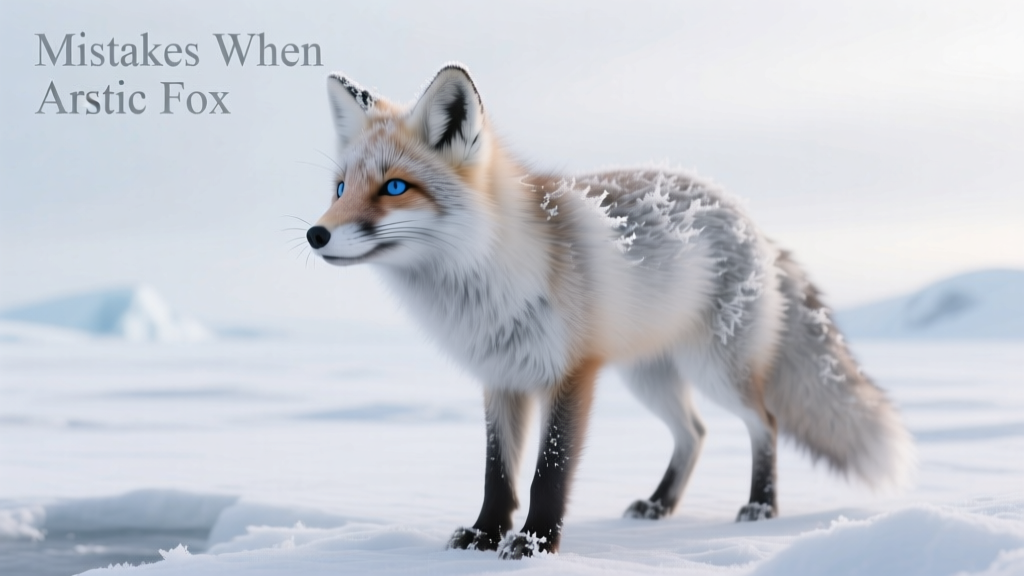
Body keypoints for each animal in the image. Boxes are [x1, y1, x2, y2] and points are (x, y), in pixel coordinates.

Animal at [305, 63, 914, 560]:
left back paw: (761, 506)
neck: (489, 280)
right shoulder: (501, 378)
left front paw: (535, 543)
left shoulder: (573, 373)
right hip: (649, 377)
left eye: (394, 188)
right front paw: (483, 535)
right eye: (339, 188)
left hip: (716, 372)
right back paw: (659, 505)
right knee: (695, 433)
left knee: (765, 423)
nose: (316, 234)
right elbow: (497, 475)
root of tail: (749, 220)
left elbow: (548, 473)